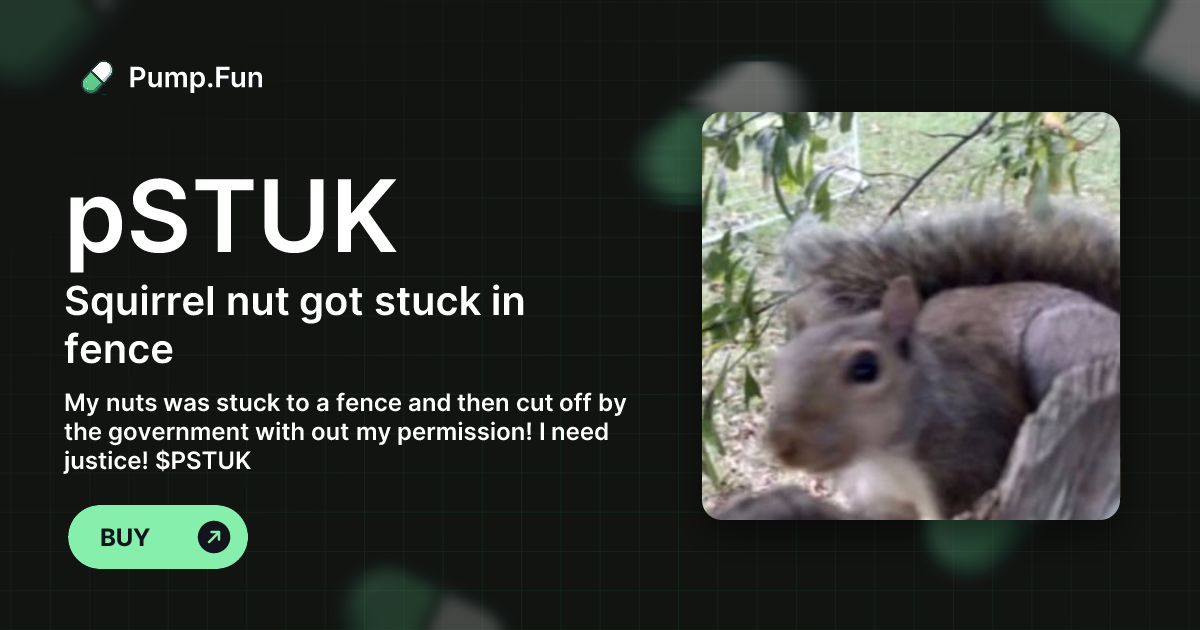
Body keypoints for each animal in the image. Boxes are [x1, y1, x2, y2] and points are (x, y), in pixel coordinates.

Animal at [764, 202, 1120, 520]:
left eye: (865, 368)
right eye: (780, 364)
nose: (783, 443)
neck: (883, 459)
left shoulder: (967, 465)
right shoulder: (879, 497)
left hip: (1057, 337)